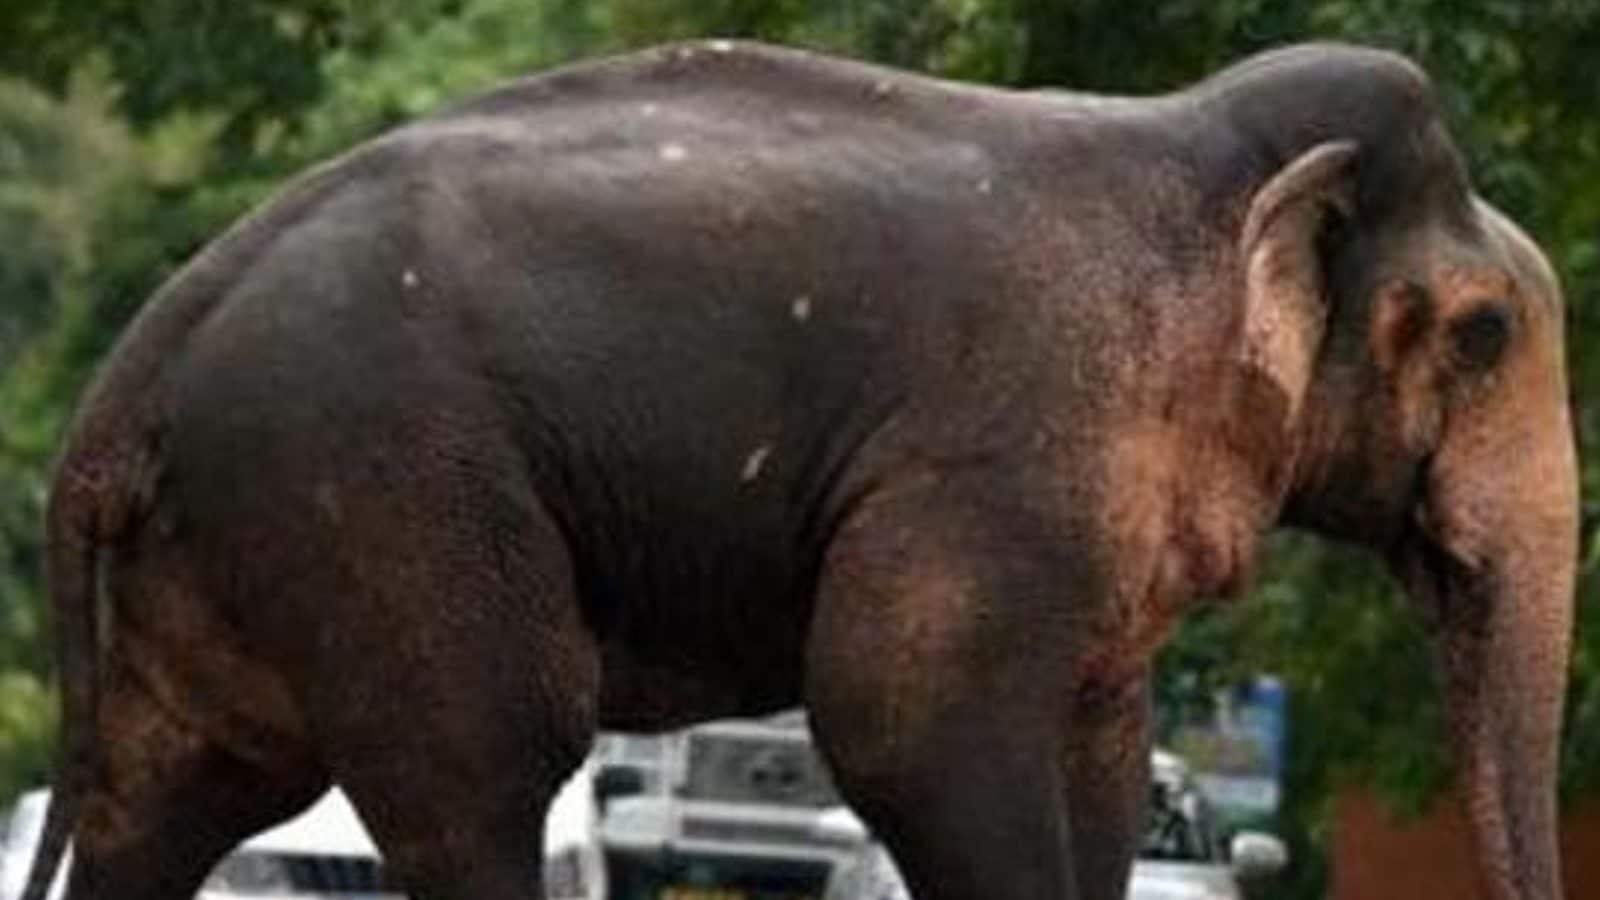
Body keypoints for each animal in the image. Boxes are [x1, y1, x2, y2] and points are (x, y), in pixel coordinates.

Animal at [22, 39, 1577, 900]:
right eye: (1487, 333)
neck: (1198, 153)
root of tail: (127, 373)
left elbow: (1102, 757)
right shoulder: (993, 460)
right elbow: (903, 717)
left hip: (232, 550)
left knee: (169, 801)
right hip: (379, 492)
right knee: (485, 770)